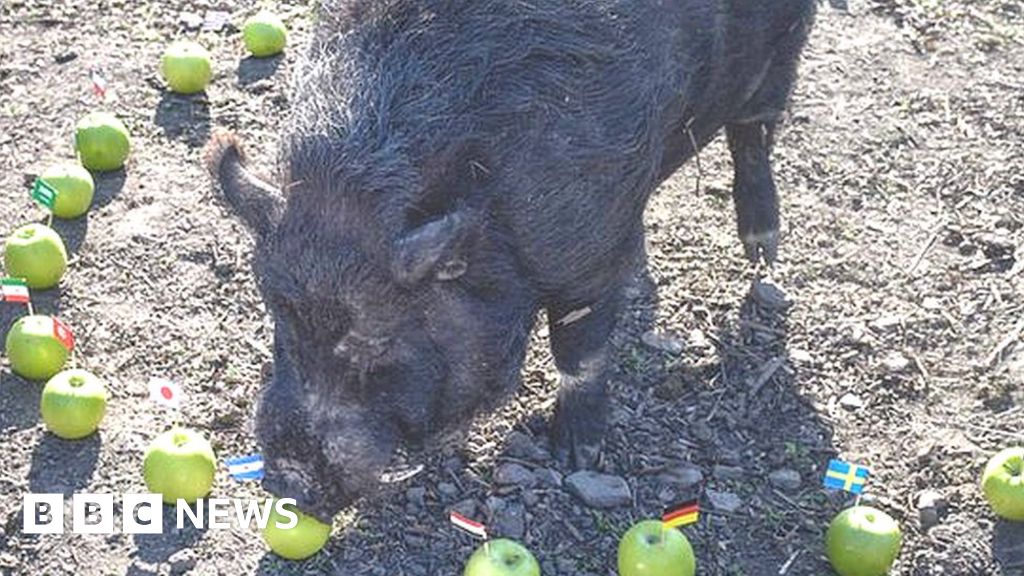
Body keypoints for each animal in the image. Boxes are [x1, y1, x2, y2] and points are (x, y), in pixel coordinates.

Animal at [205, 0, 816, 521]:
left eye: (375, 341)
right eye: (280, 321)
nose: (285, 480)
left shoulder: (590, 250)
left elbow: (580, 350)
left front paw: (576, 456)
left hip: (782, 52)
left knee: (754, 133)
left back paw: (762, 250)